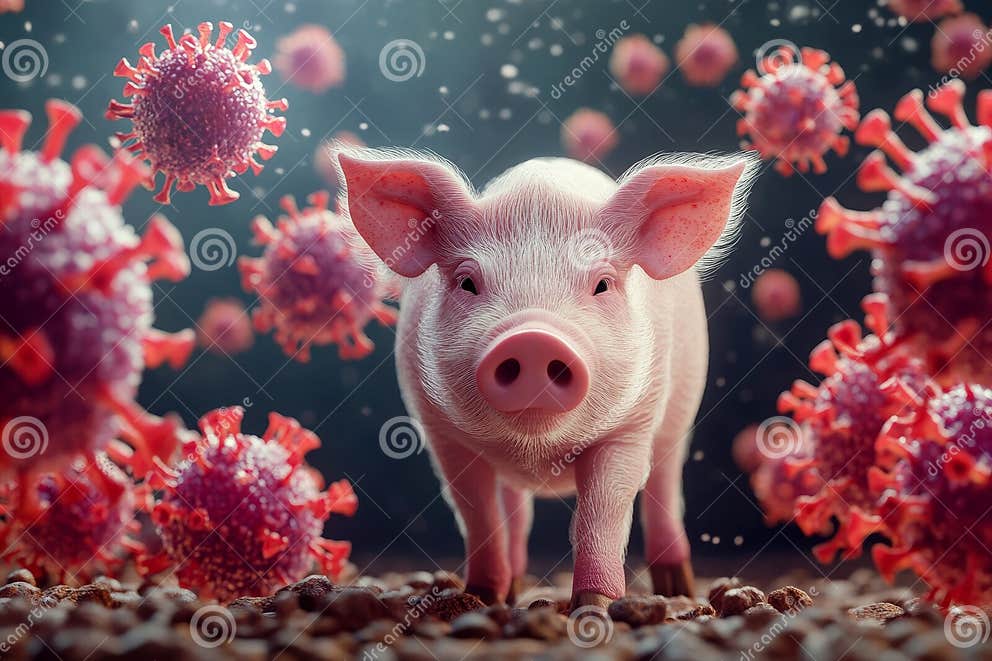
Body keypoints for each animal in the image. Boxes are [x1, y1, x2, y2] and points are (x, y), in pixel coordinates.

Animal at [336, 148, 758, 610]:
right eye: (467, 282)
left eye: (602, 284)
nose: (533, 338)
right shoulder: (441, 433)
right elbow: (476, 511)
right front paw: (478, 596)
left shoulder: (632, 425)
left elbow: (603, 509)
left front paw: (594, 607)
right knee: (515, 510)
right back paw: (512, 591)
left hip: (681, 408)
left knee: (664, 486)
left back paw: (676, 591)